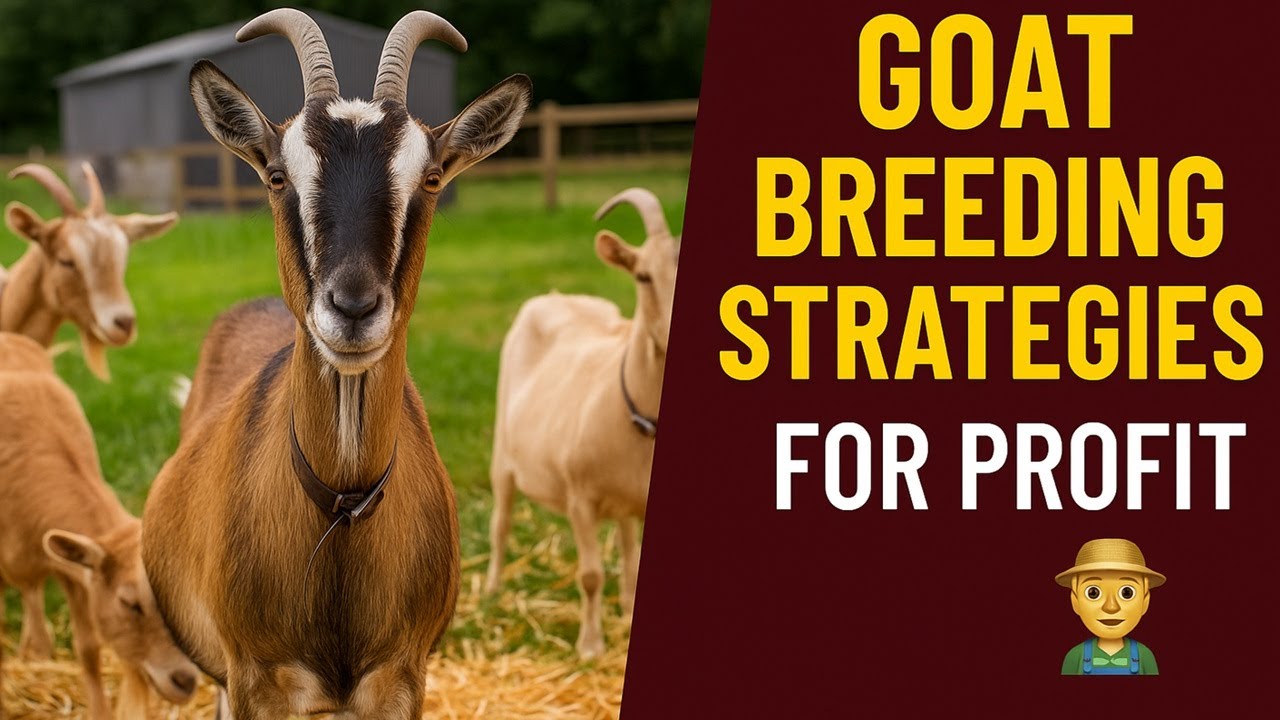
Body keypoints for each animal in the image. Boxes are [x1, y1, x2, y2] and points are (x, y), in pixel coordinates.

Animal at [140, 9, 530, 717]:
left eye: (431, 178)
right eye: (276, 175)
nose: (352, 307)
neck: (340, 516)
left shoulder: (400, 678)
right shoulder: (257, 679)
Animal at [486, 188, 679, 658]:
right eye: (643, 276)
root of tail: (555, 295)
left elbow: (633, 560)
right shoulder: (579, 498)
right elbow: (591, 575)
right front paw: (590, 646)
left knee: (626, 539)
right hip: (503, 452)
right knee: (500, 521)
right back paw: (493, 590)